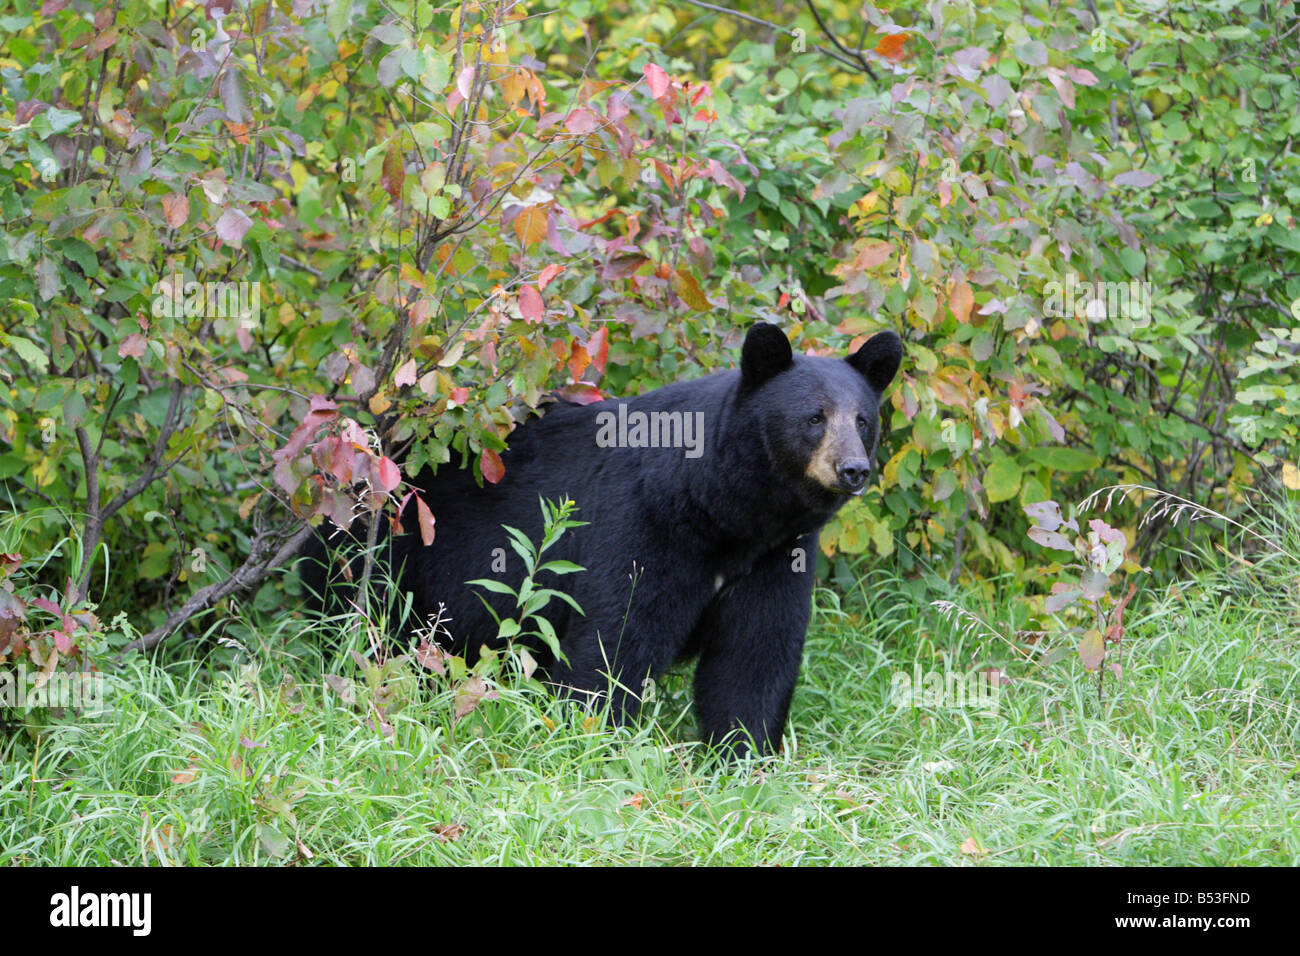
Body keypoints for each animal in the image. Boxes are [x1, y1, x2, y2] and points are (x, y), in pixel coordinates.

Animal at [302, 322, 902, 756]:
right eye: (814, 417)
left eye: (863, 419)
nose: (853, 469)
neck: (723, 513)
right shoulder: (642, 528)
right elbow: (615, 640)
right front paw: (592, 738)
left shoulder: (775, 557)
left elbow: (754, 655)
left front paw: (743, 752)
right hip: (383, 546)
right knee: (366, 621)